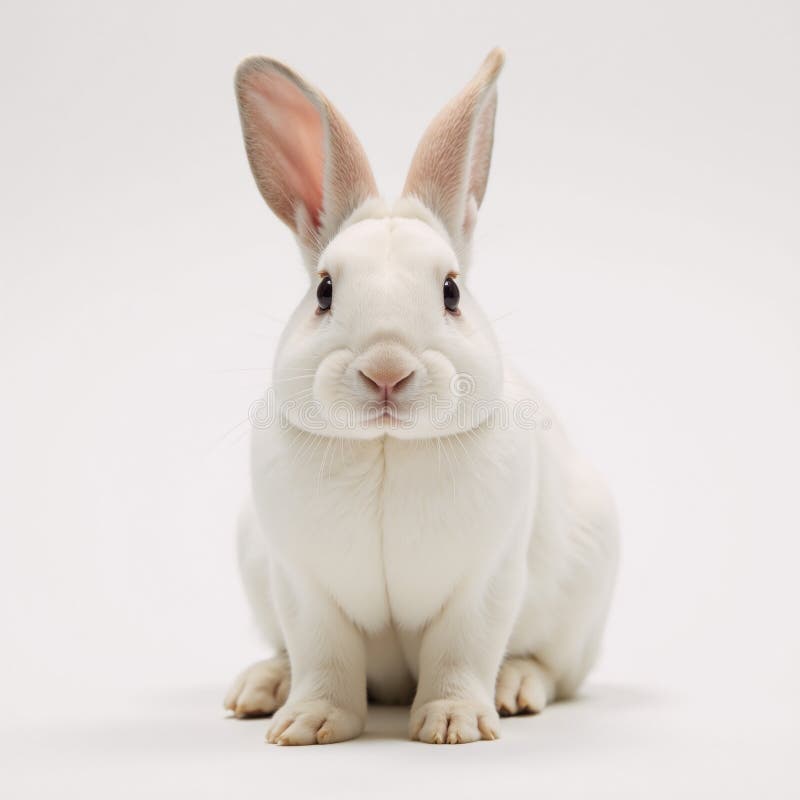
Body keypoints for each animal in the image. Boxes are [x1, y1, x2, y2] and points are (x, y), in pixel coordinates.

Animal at [223, 48, 619, 745]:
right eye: (324, 290)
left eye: (451, 292)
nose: (387, 370)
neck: (387, 447)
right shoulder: (304, 586)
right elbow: (322, 658)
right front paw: (309, 724)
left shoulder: (483, 582)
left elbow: (460, 653)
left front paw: (455, 724)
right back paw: (260, 688)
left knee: (552, 667)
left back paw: (516, 688)